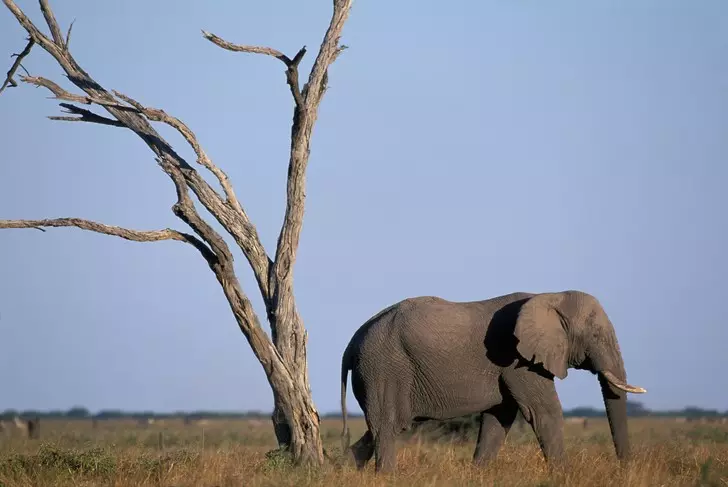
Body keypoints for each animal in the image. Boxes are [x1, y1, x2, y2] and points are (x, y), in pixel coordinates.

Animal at [338, 290, 644, 472]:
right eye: (596, 336)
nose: (624, 470)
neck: (549, 297)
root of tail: (352, 342)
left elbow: (499, 419)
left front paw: (478, 474)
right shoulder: (518, 359)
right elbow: (544, 412)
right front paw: (564, 475)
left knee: (377, 430)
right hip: (383, 369)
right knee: (387, 428)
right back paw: (387, 477)